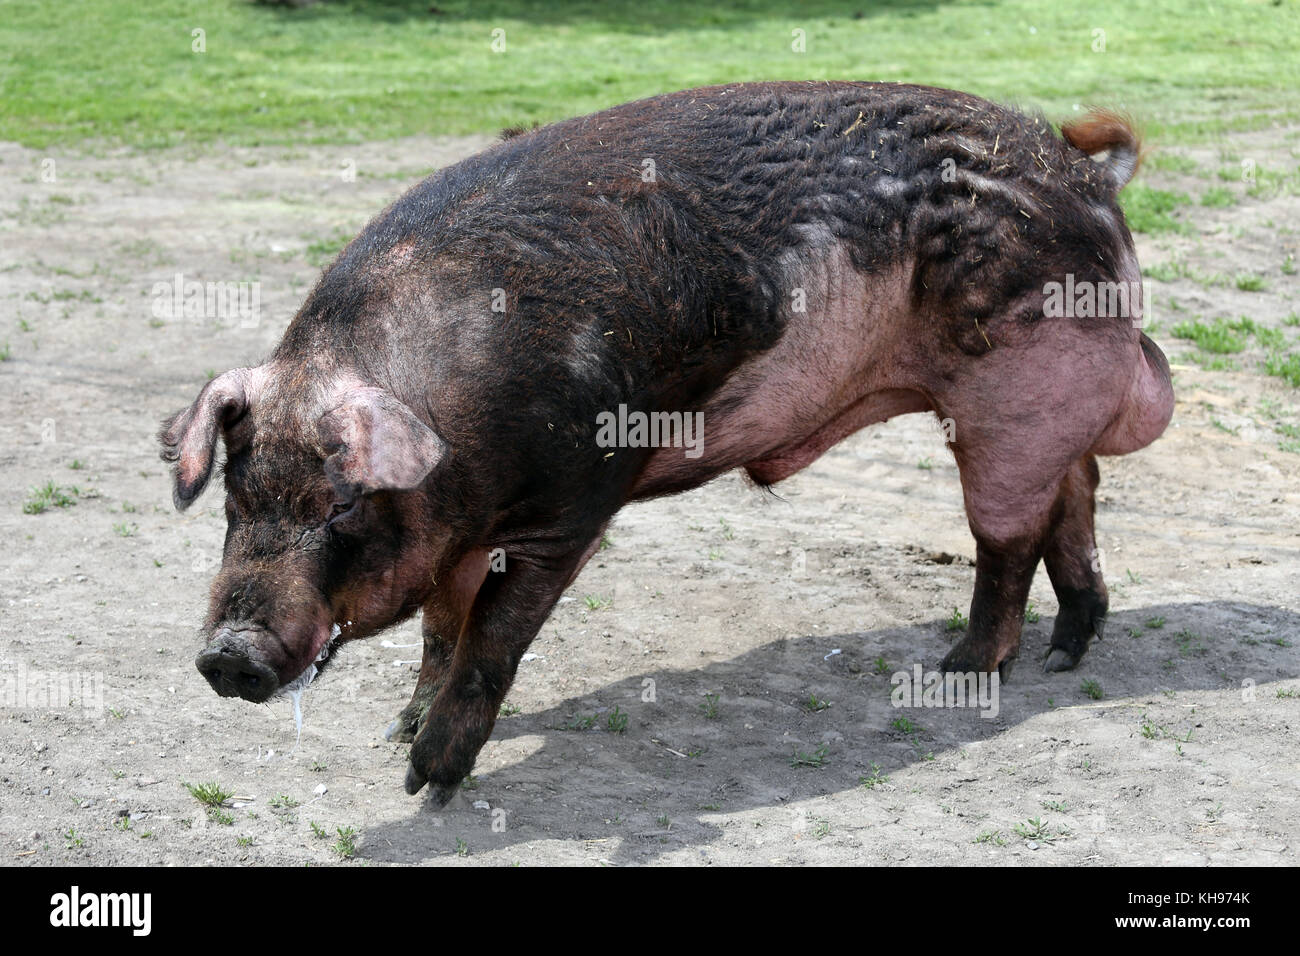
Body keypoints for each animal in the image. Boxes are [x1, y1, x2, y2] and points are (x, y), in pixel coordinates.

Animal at [160, 82, 1174, 804]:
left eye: (342, 507)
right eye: (236, 500)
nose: (228, 654)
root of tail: (1091, 177)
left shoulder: (572, 508)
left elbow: (491, 641)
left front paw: (426, 784)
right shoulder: (459, 534)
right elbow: (442, 629)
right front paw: (395, 736)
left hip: (1009, 396)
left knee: (1008, 539)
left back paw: (959, 671)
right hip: (1038, 407)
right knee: (1077, 491)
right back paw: (1065, 654)